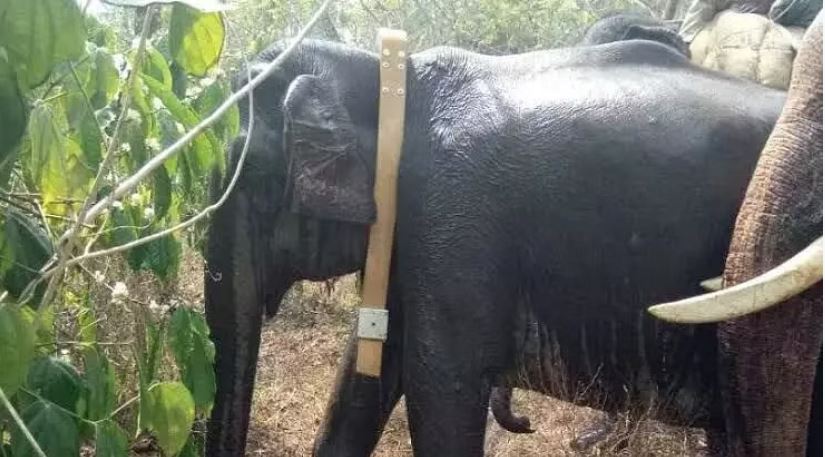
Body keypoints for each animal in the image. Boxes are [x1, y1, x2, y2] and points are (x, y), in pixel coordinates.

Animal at [203, 38, 787, 456]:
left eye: (255, 177)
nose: (524, 422)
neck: (393, 72)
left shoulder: (457, 216)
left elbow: (439, 387)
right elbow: (365, 375)